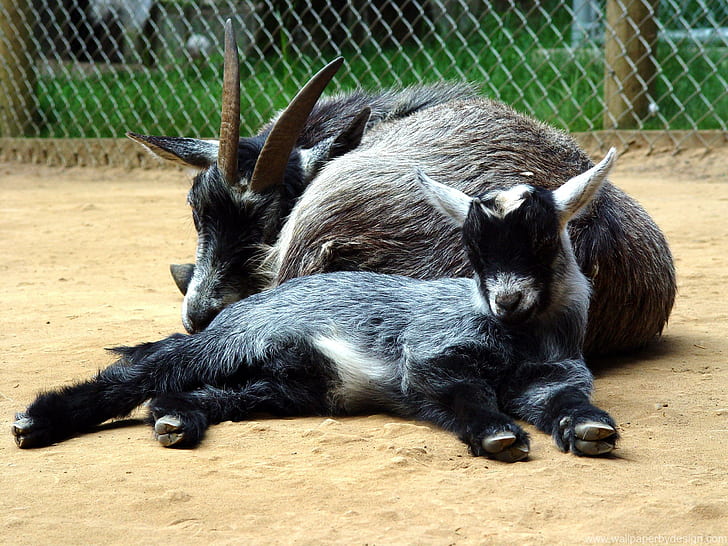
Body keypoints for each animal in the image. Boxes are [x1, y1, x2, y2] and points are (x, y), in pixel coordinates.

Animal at [12, 150, 619, 462]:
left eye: (543, 239)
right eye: (471, 249)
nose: (506, 299)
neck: (519, 339)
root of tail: (253, 301)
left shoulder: (554, 374)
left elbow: (567, 401)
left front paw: (592, 429)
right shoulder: (430, 359)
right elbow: (462, 394)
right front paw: (499, 434)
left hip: (293, 382)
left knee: (194, 393)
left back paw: (176, 419)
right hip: (233, 343)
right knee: (141, 371)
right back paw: (36, 423)